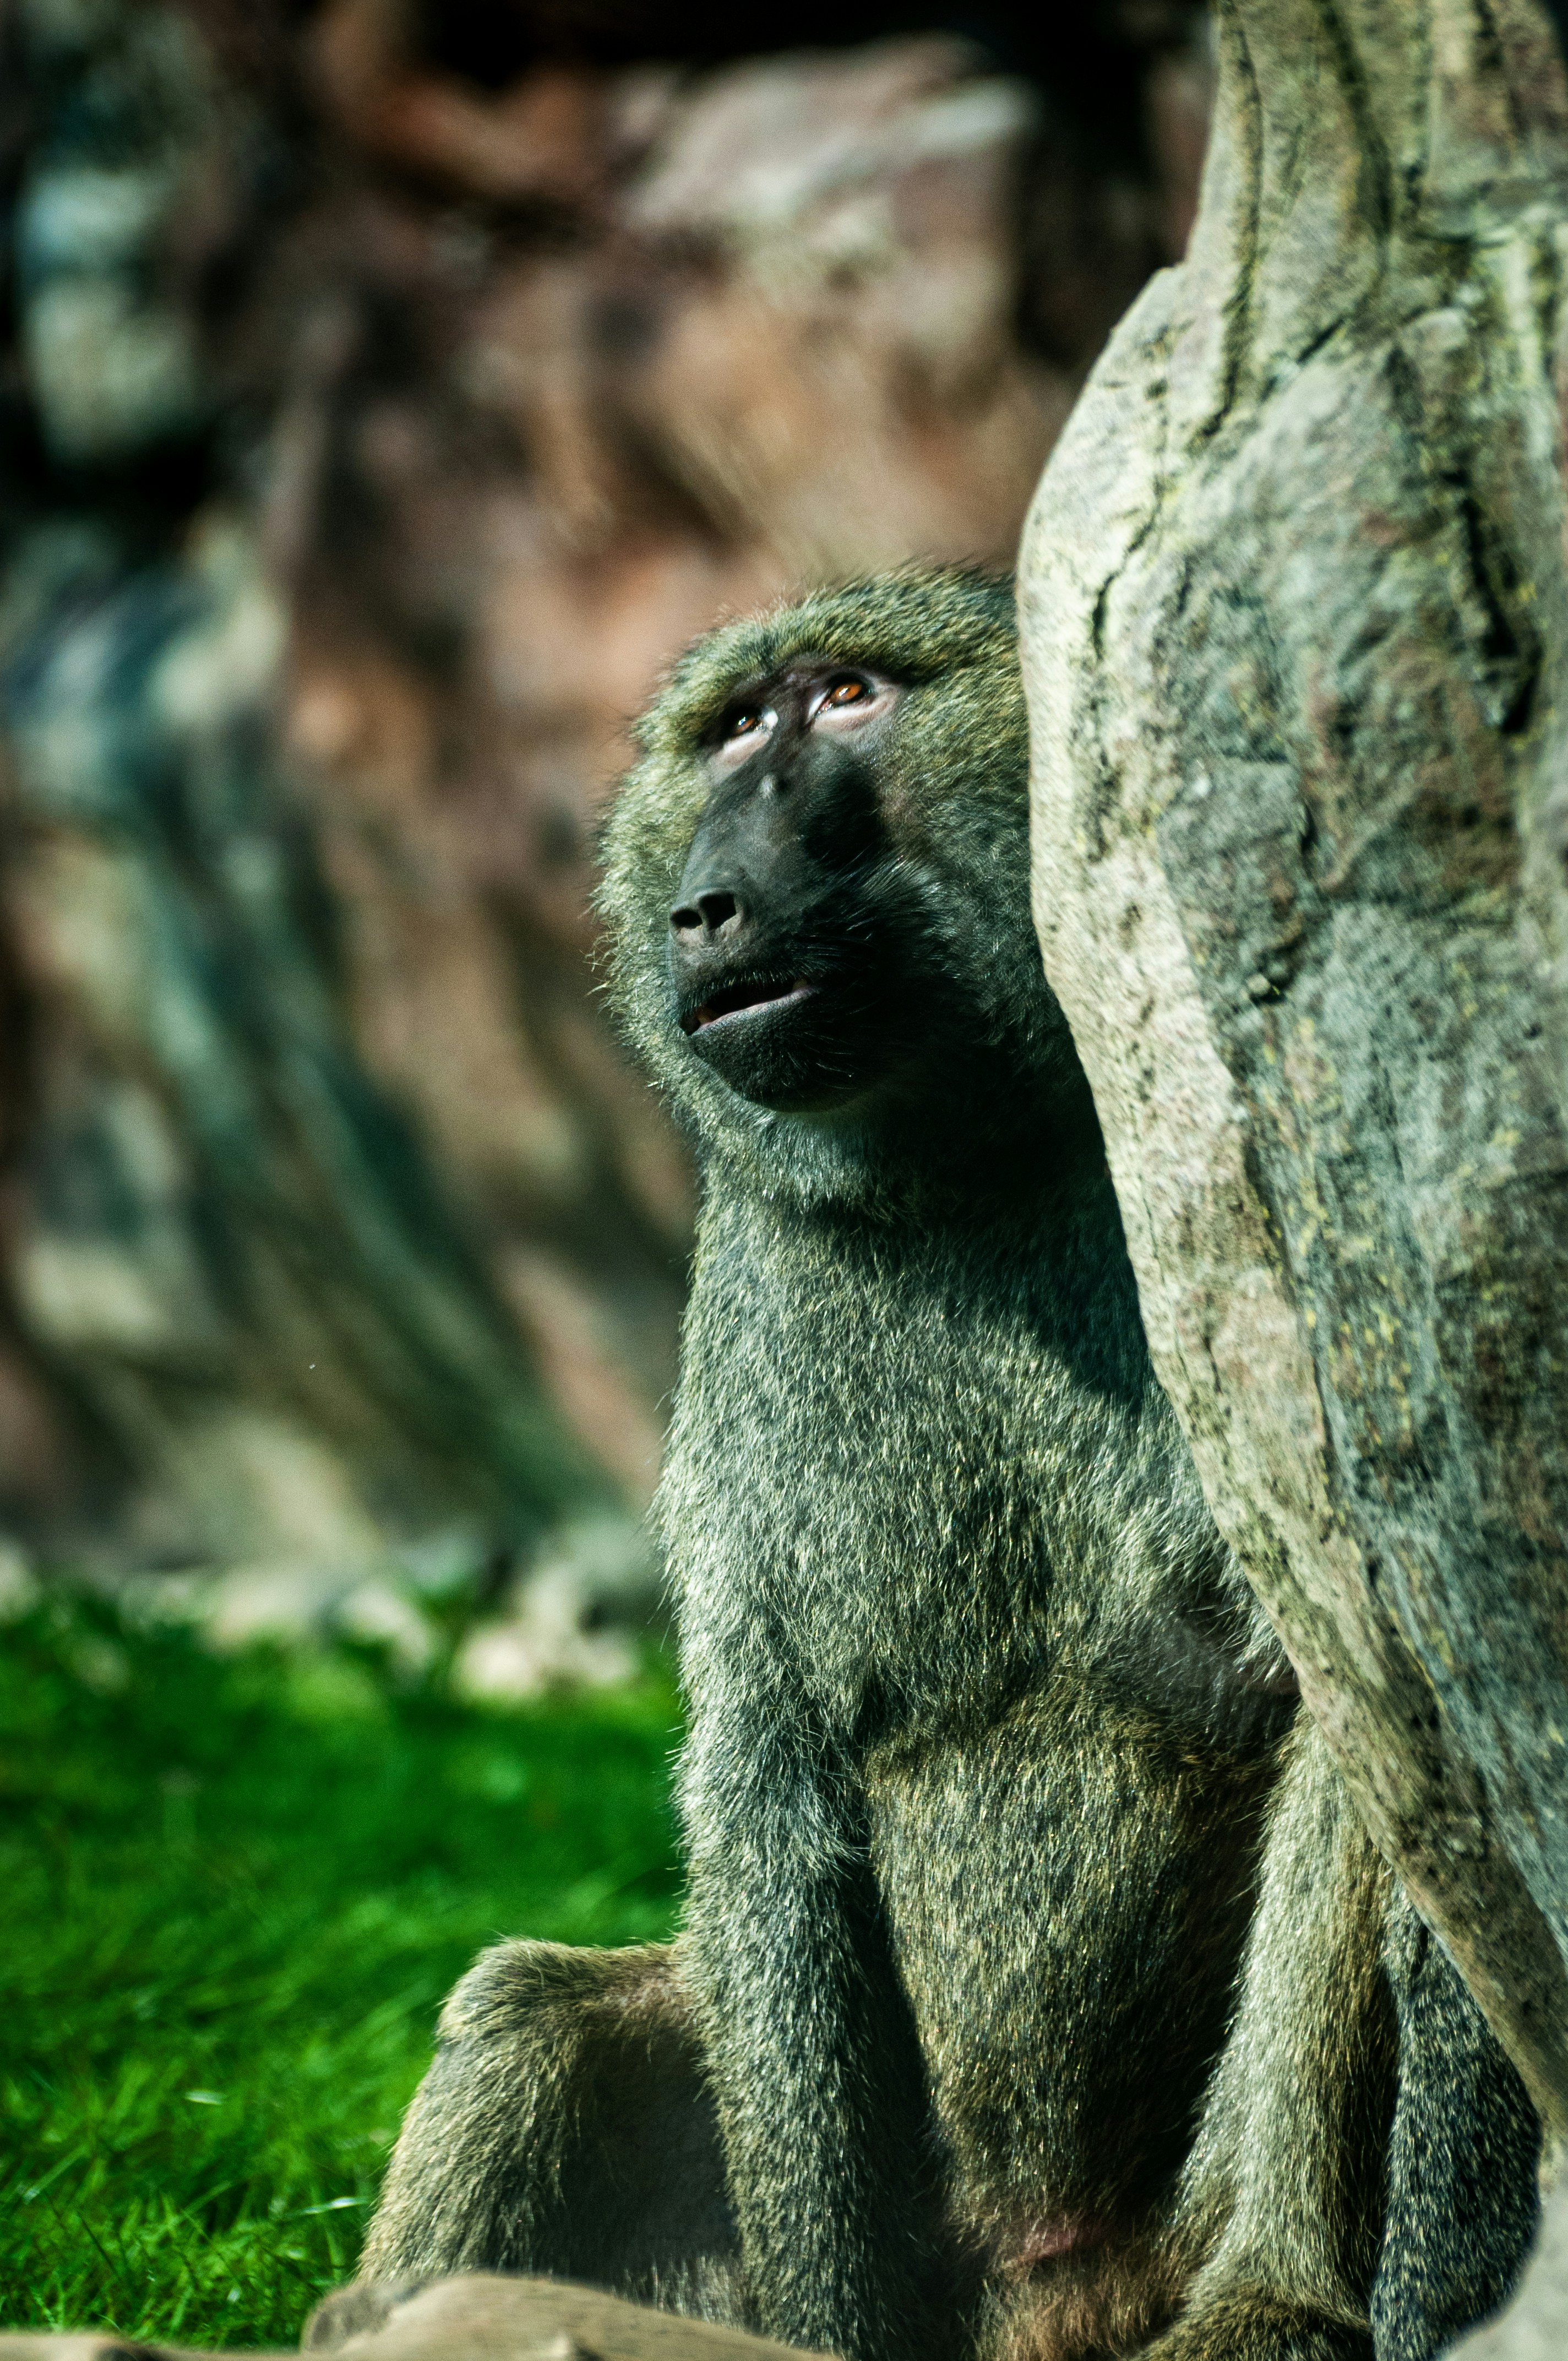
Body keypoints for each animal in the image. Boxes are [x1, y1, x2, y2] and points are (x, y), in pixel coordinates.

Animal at [349, 568, 1540, 2361]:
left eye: (847, 698)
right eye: (727, 729)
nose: (707, 907)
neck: (986, 1156)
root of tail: (1042, 2300)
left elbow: (1381, 1733)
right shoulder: (760, 1301)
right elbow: (770, 1782)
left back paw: (1266, 2296)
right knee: (531, 2015)